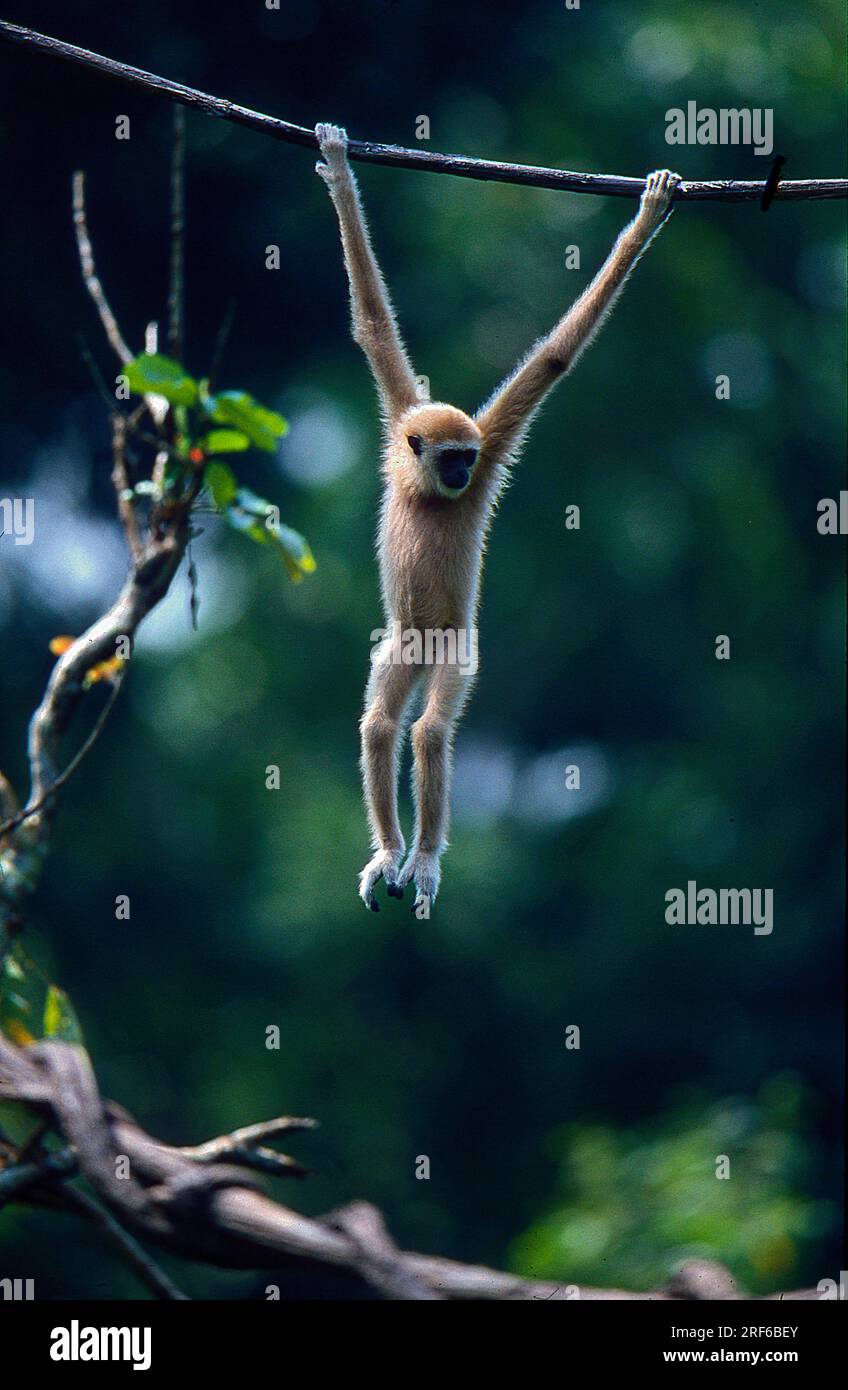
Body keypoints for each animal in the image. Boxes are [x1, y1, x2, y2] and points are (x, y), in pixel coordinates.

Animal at [315, 123, 680, 916]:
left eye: (464, 460)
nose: (459, 471)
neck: (424, 491)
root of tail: (427, 647)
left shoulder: (493, 449)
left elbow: (553, 359)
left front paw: (646, 219)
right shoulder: (402, 419)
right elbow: (371, 327)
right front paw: (337, 168)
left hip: (454, 650)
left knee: (428, 730)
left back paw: (420, 859)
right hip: (402, 646)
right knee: (380, 724)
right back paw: (389, 852)